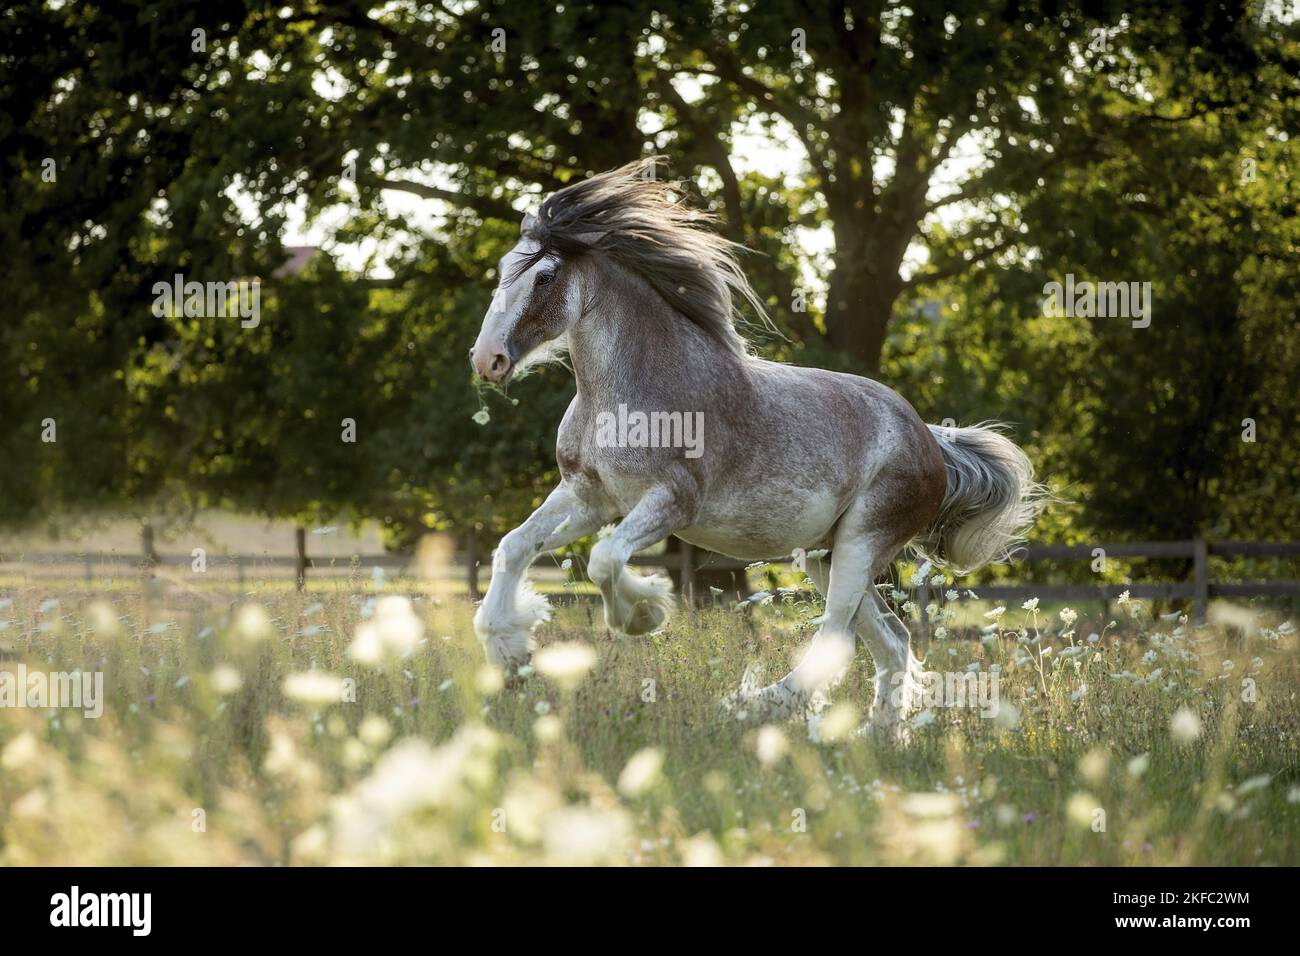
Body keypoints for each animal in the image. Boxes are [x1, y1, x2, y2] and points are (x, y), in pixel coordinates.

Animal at [469, 158, 1046, 739]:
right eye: (500, 268)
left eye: (545, 275)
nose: (487, 359)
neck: (630, 391)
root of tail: (932, 442)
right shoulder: (589, 497)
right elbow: (514, 547)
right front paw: (510, 653)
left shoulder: (672, 502)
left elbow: (604, 560)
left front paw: (644, 615)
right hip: (825, 554)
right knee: (892, 641)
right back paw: (878, 734)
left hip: (863, 541)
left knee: (838, 638)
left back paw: (754, 707)